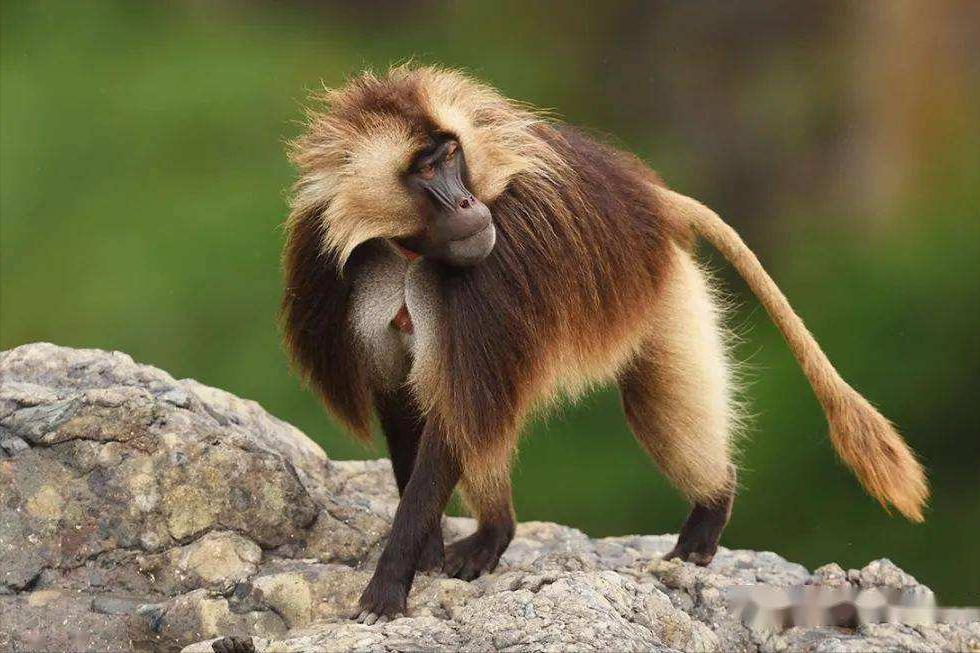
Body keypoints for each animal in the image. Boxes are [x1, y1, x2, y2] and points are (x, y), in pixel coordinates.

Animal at [280, 65, 928, 622]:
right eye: (423, 171)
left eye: (450, 158)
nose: (467, 204)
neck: (410, 250)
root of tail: (650, 201)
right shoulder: (356, 274)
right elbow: (403, 401)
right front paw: (429, 552)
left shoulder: (482, 283)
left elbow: (450, 422)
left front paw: (389, 584)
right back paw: (495, 534)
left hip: (665, 292)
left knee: (640, 402)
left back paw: (706, 518)